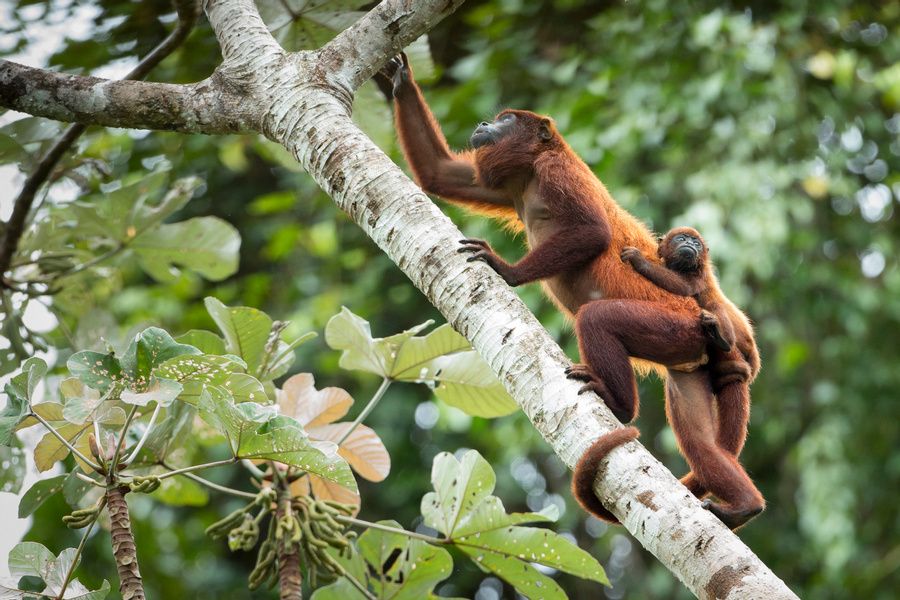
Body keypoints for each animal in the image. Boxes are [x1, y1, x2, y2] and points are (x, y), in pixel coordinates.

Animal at [379, 54, 763, 529]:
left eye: (507, 119)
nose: (485, 121)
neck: (532, 171)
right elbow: (439, 174)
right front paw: (400, 79)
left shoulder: (556, 172)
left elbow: (593, 232)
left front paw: (506, 270)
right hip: (689, 360)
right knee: (703, 447)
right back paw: (743, 504)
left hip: (682, 325)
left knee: (598, 318)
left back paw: (620, 405)